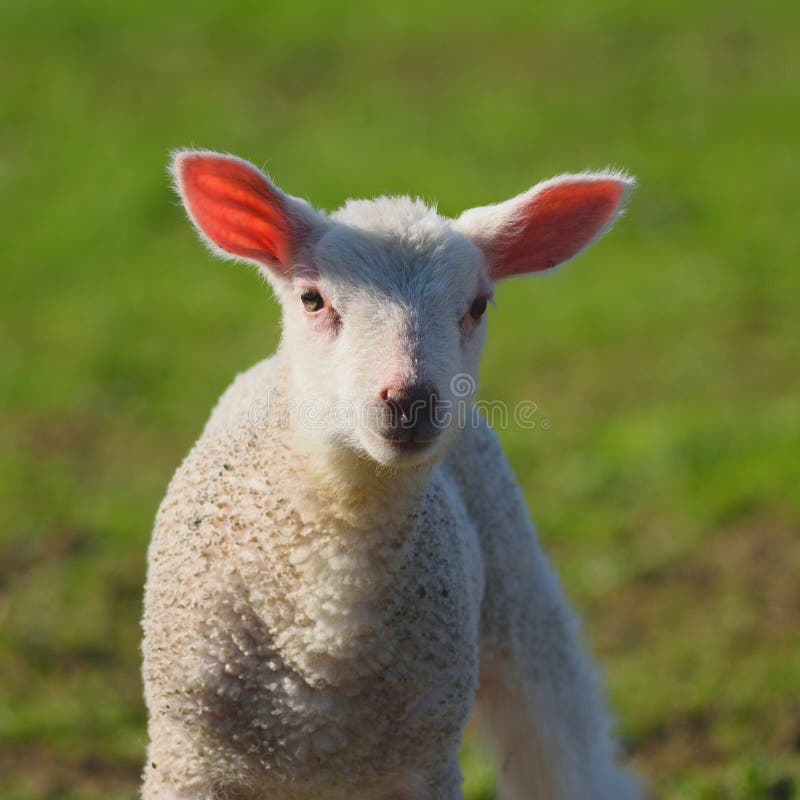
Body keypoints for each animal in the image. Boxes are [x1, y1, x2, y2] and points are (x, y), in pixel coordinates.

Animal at [142, 149, 639, 800]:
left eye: (478, 305)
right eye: (312, 300)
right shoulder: (188, 757)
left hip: (516, 583)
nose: (410, 401)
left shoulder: (422, 765)